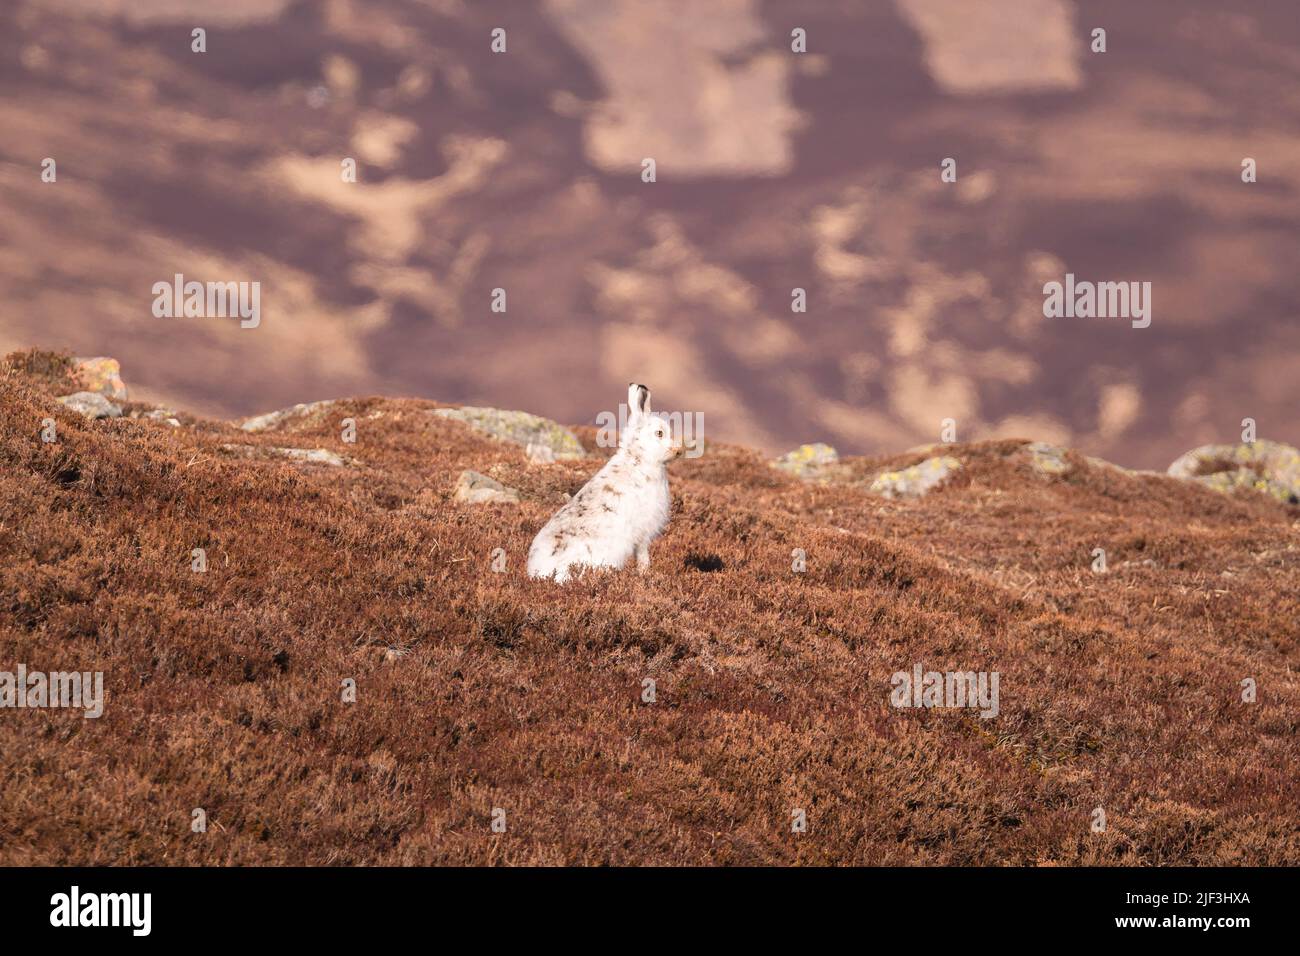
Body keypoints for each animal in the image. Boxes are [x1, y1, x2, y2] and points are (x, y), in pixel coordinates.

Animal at [527, 383, 681, 583]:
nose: (678, 451)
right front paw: (646, 572)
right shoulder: (643, 531)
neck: (638, 457)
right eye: (659, 433)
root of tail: (540, 572)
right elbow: (642, 554)